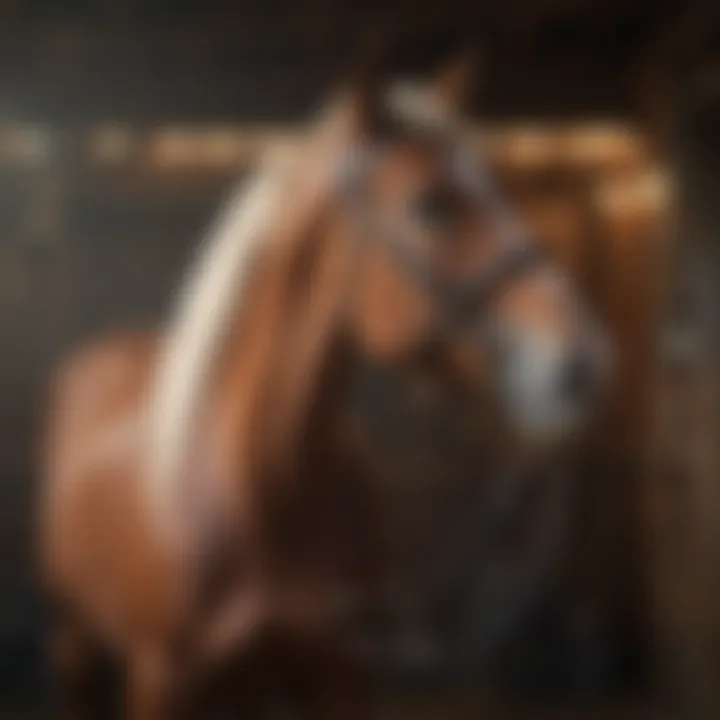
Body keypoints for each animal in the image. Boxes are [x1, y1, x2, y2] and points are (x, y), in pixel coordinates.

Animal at [38, 57, 608, 720]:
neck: (260, 485)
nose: (584, 359)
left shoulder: (342, 677)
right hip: (72, 638)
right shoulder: (161, 682)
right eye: (431, 205)